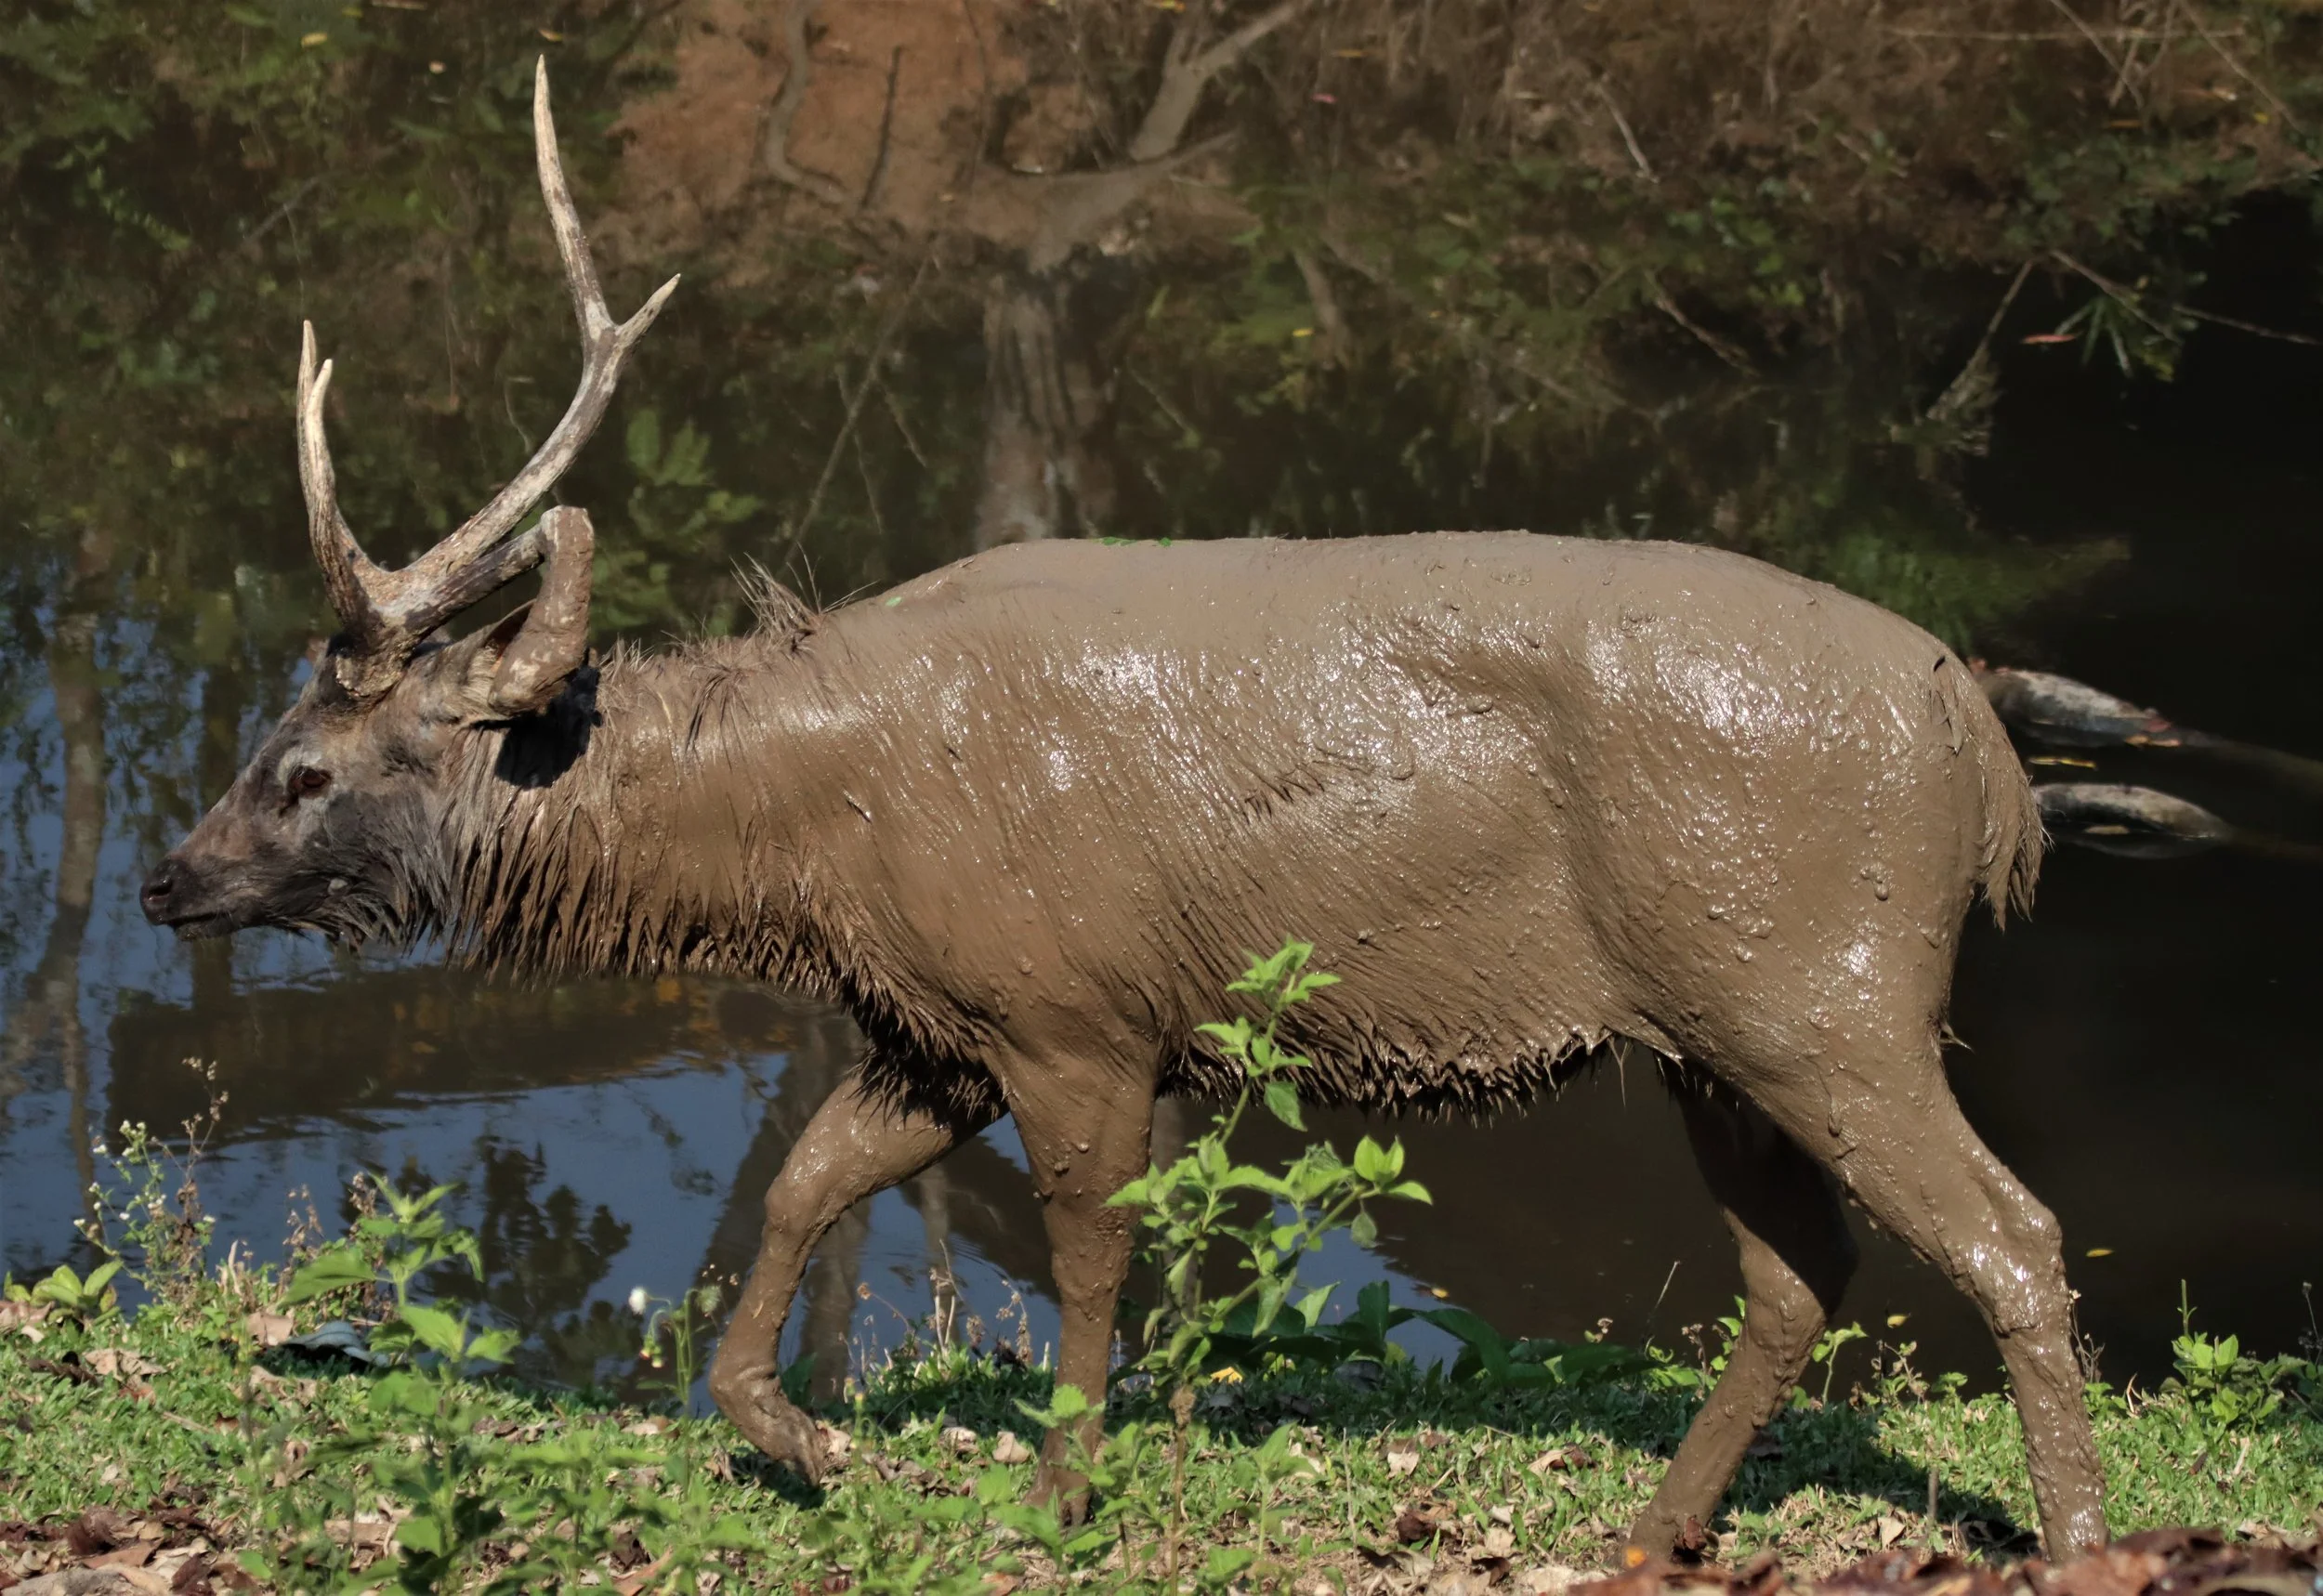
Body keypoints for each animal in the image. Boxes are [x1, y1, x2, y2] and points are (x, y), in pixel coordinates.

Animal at [141, 62, 2109, 1559]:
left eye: (306, 766)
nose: (167, 879)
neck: (813, 839)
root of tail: (1983, 749)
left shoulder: (1076, 1007)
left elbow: (1089, 1258)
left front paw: (1053, 1494)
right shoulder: (928, 1022)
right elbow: (805, 1190)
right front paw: (811, 1437)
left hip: (1825, 983)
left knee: (2009, 1233)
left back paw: (2076, 1542)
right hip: (1715, 1023)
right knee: (1800, 1269)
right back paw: (1657, 1528)